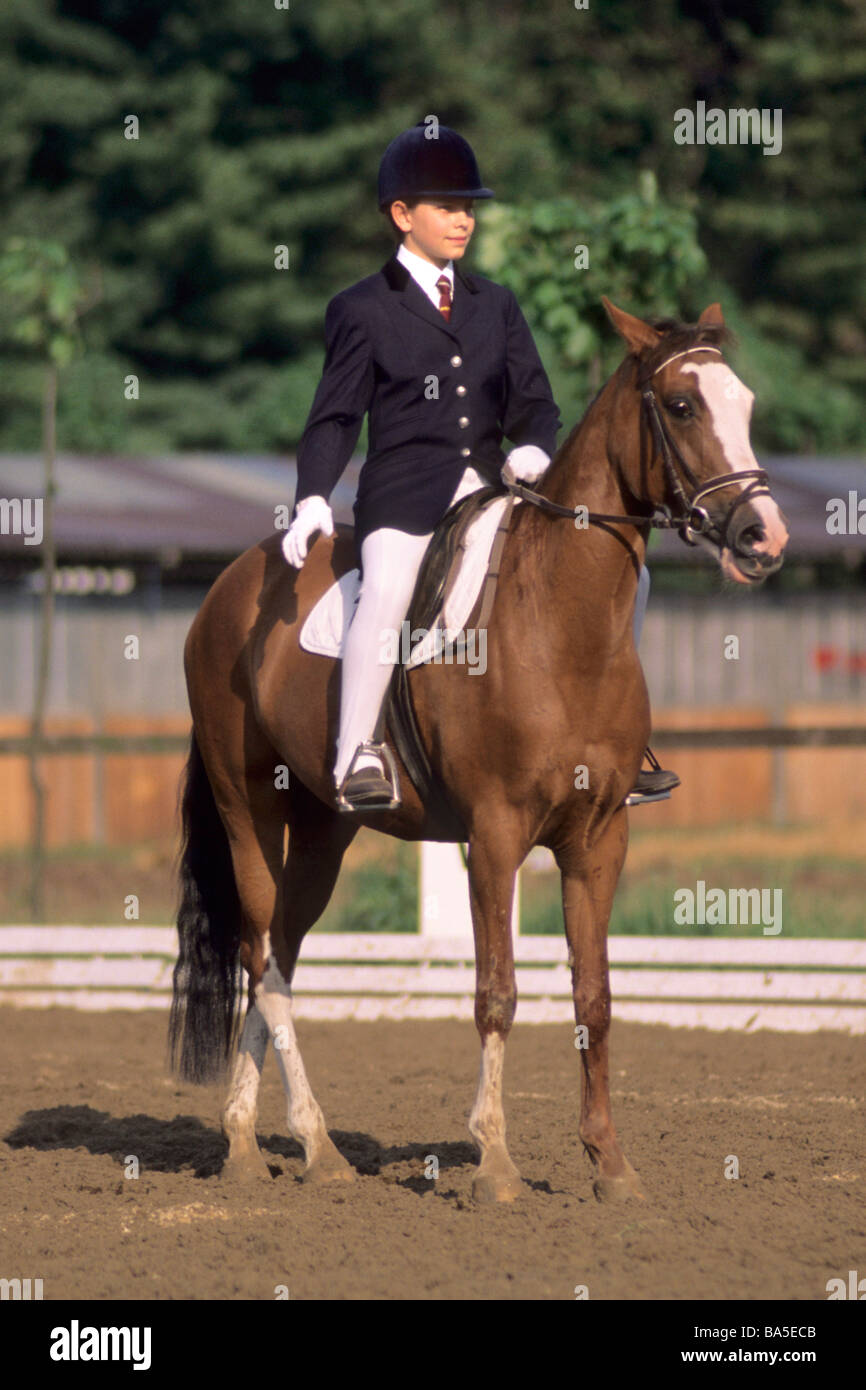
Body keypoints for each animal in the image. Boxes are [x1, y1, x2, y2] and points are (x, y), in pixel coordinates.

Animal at [168, 298, 788, 1203]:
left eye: (744, 404)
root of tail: (233, 585)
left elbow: (596, 996)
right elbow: (497, 991)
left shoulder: (599, 839)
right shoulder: (494, 835)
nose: (762, 537)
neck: (562, 622)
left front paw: (611, 1165)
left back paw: (251, 1139)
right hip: (247, 808)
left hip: (322, 831)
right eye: (680, 406)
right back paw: (310, 1147)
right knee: (262, 956)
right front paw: (495, 1163)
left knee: (275, 950)